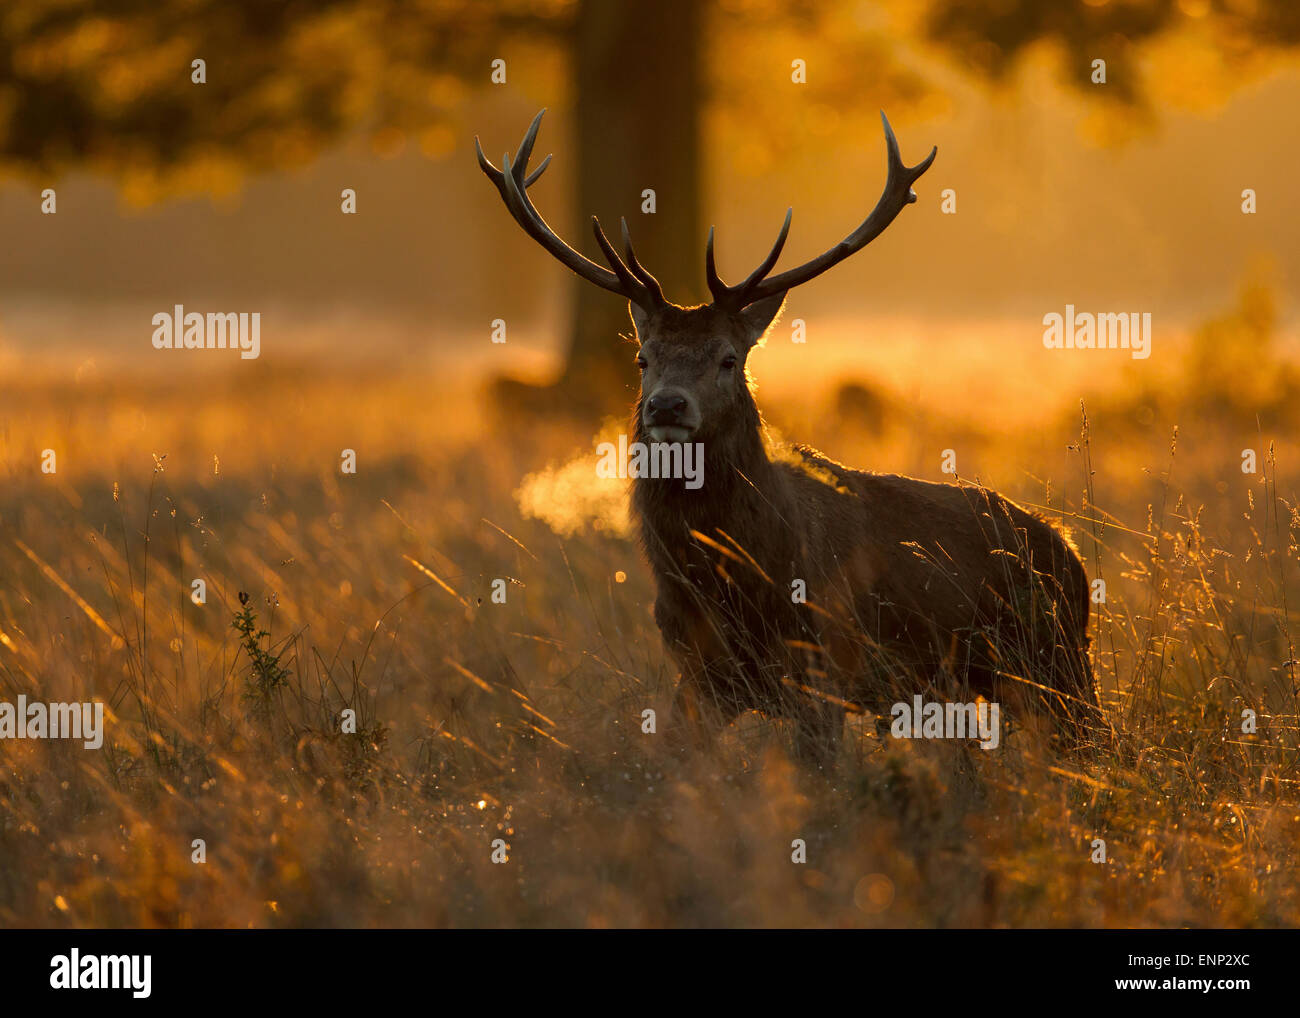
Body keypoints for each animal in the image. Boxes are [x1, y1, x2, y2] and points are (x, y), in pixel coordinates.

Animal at [477, 110, 1103, 769]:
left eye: (728, 358)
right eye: (644, 359)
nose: (667, 405)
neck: (734, 581)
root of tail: (1071, 553)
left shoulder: (822, 667)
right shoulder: (699, 673)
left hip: (1060, 664)